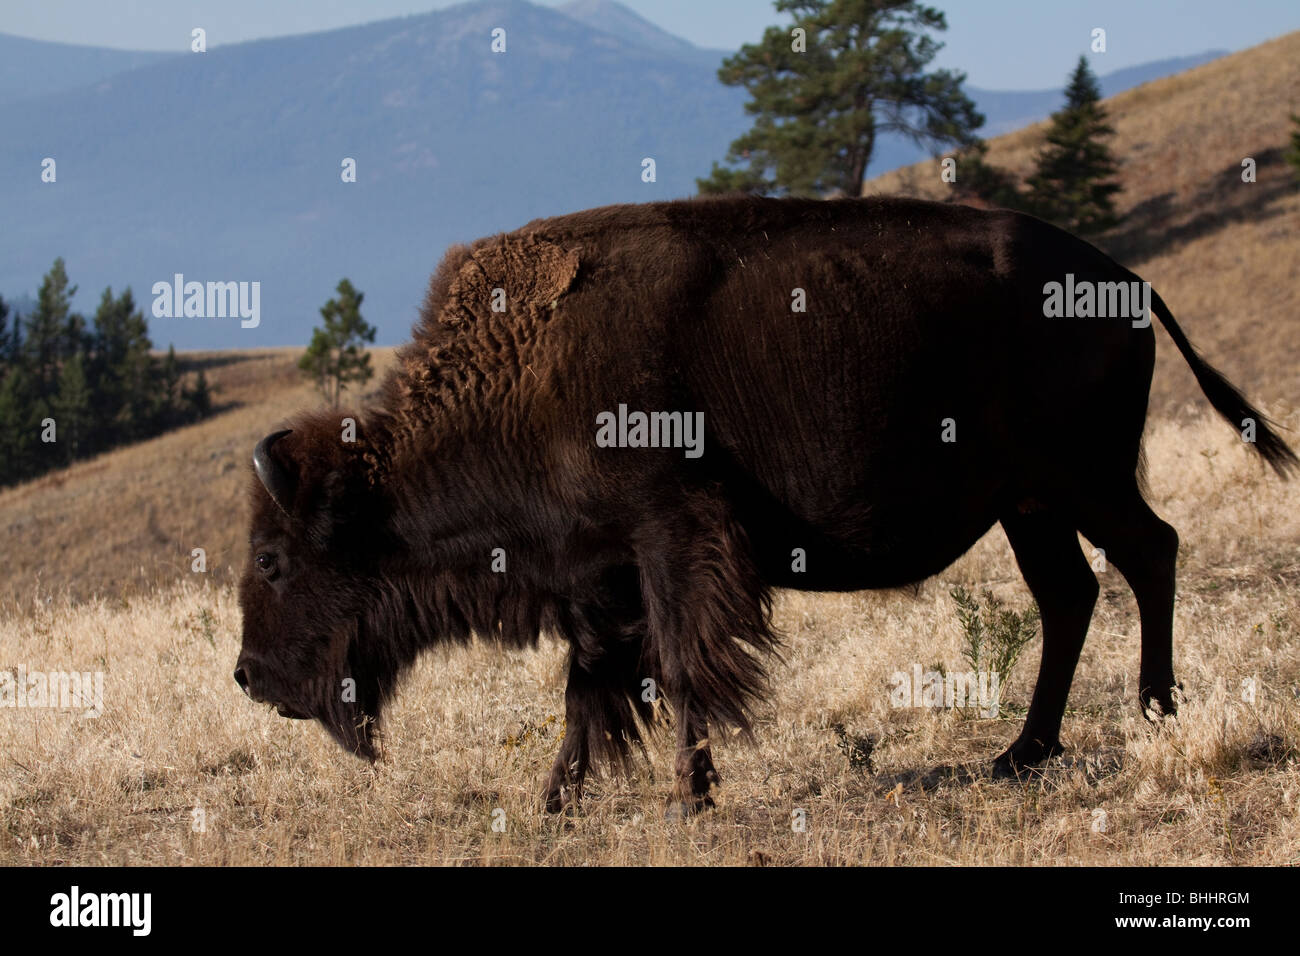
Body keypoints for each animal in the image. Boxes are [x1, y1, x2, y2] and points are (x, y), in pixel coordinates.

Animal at [235, 195, 1295, 814]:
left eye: (276, 561)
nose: (249, 676)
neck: (526, 373)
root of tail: (1129, 282)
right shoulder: (602, 577)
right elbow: (594, 689)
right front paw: (557, 801)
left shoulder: (672, 543)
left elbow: (681, 671)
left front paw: (688, 801)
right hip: (1029, 504)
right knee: (1071, 593)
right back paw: (1022, 754)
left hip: (1083, 480)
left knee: (1150, 552)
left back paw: (1155, 714)